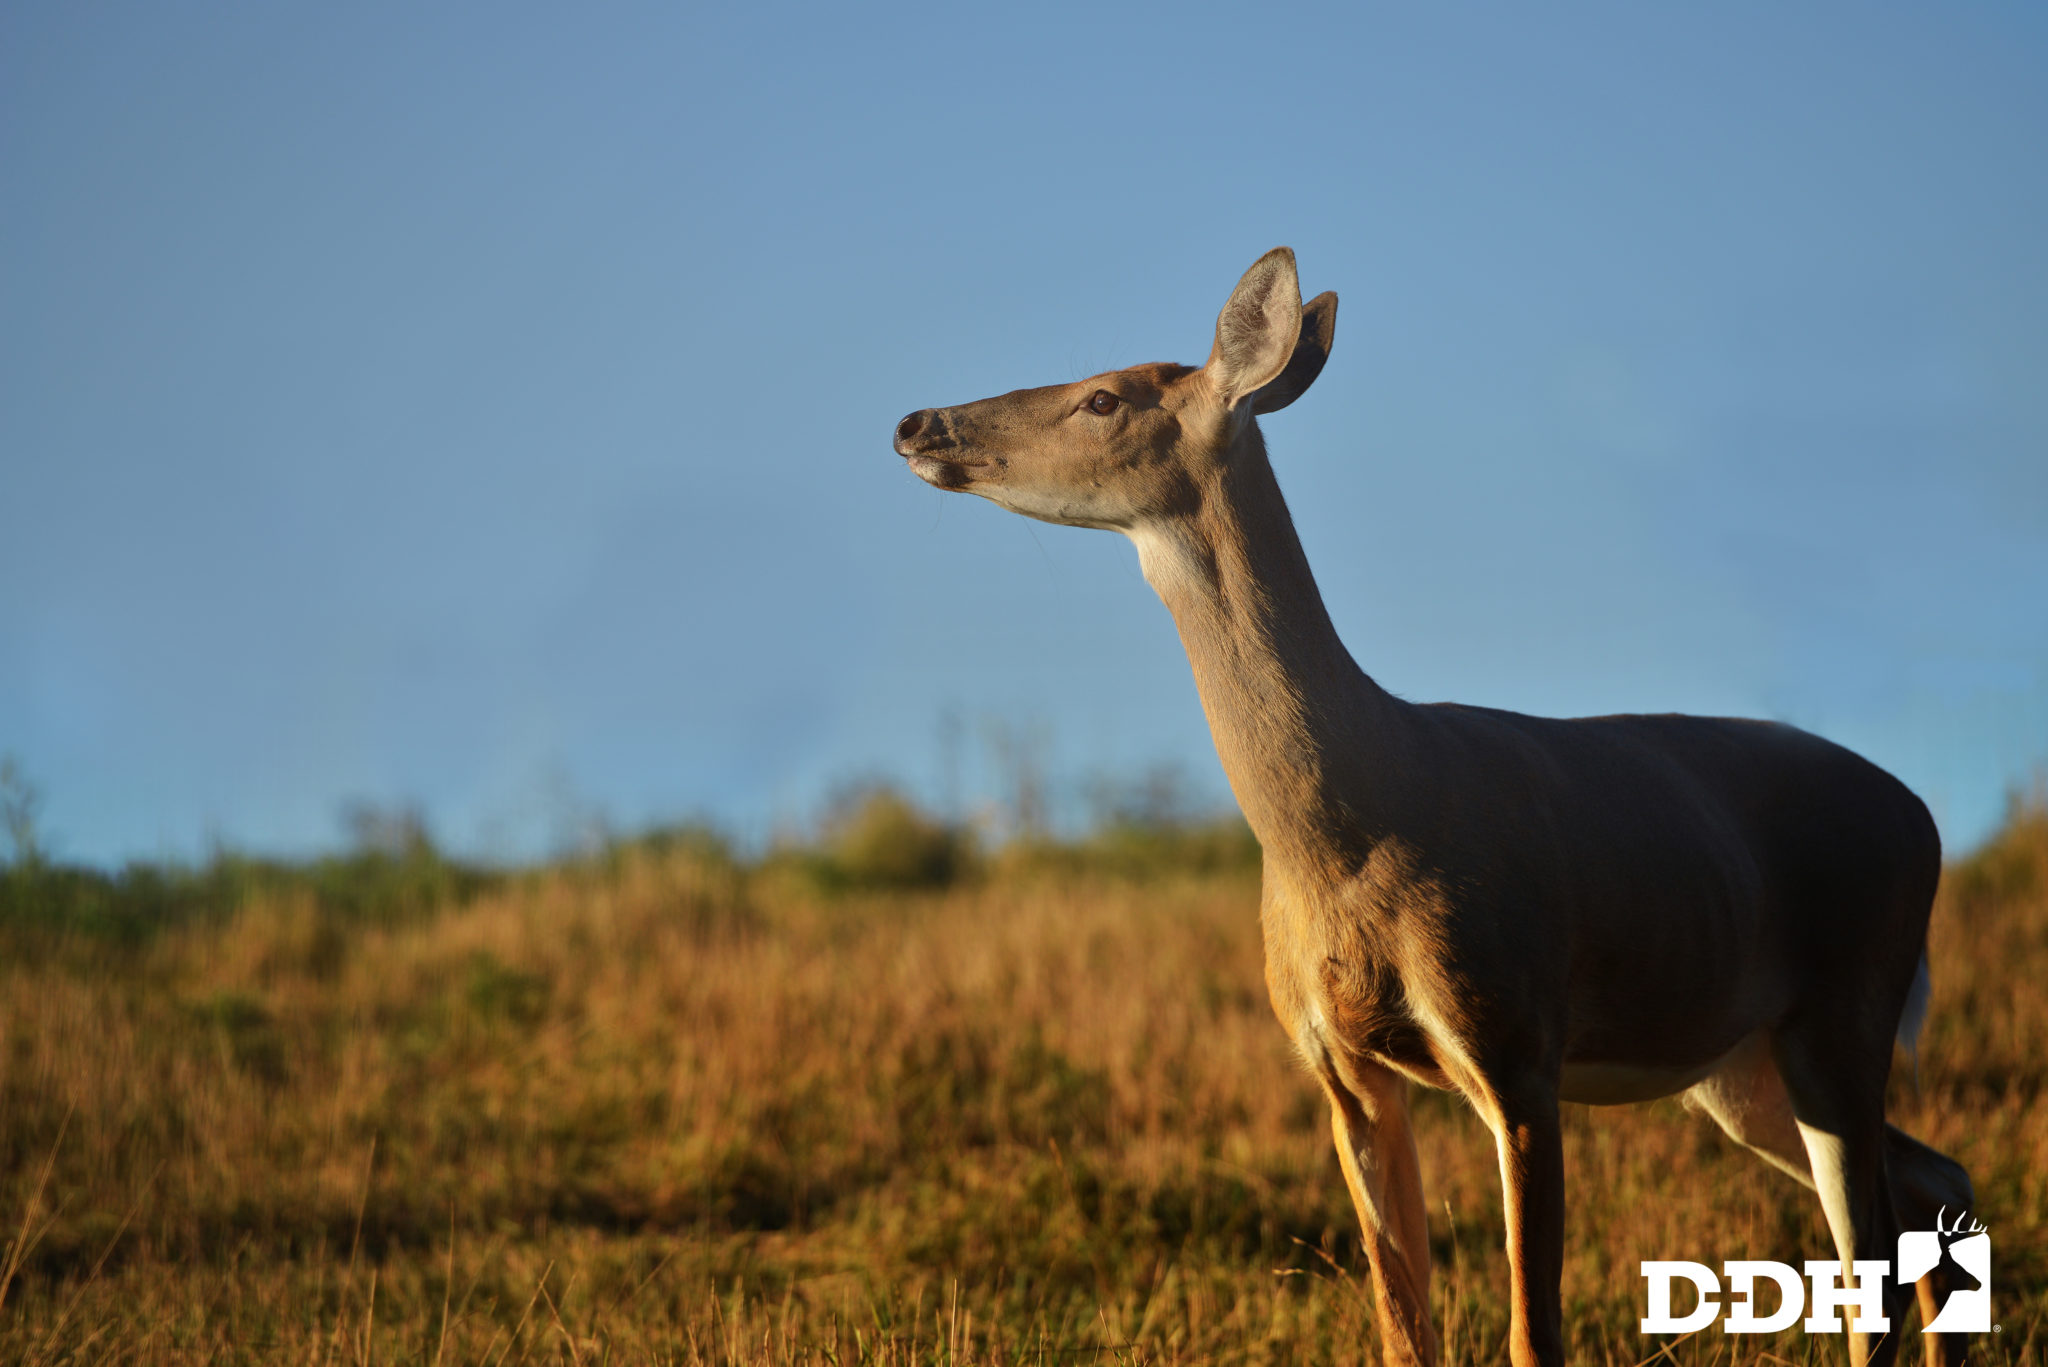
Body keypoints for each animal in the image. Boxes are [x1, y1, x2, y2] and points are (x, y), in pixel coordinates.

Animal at [892, 248, 1977, 1367]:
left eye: (1104, 396)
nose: (916, 422)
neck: (1354, 825)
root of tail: (1921, 818)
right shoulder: (1337, 1064)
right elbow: (1399, 1322)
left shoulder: (1514, 1035)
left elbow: (1532, 1330)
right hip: (1739, 1063)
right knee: (1932, 1184)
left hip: (1844, 1007)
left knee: (1873, 1249)